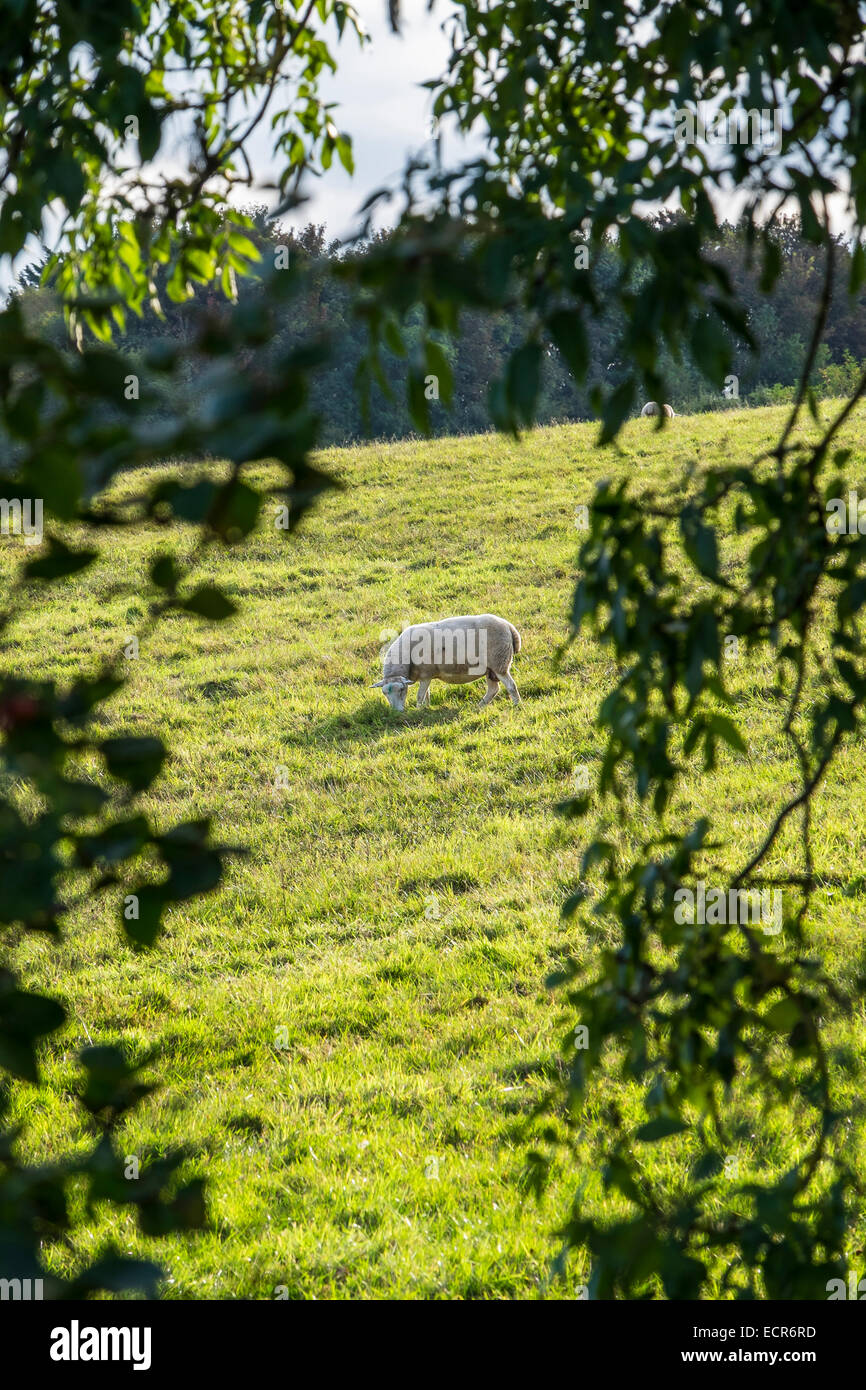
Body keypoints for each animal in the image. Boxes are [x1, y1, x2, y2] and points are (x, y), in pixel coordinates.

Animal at [373, 613, 521, 711]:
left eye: (402, 690)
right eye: (385, 693)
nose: (397, 713)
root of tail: (509, 627)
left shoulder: (426, 673)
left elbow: (420, 695)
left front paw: (418, 710)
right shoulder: (425, 676)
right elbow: (426, 694)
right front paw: (426, 708)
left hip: (499, 662)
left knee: (511, 686)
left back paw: (516, 705)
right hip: (490, 668)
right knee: (493, 689)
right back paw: (479, 706)